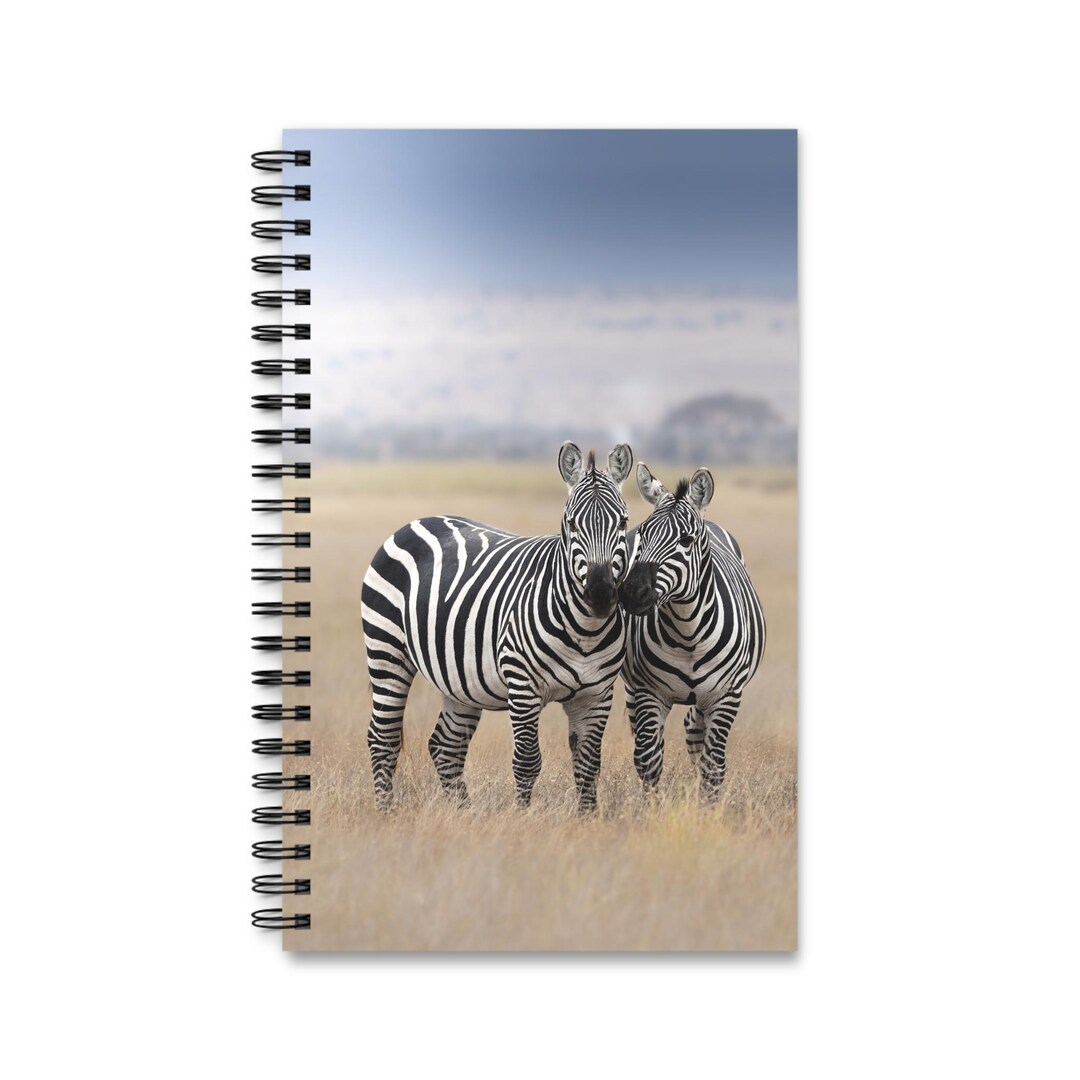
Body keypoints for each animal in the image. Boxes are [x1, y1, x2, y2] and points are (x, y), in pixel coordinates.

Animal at [361, 442, 634, 811]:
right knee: (384, 737)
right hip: (386, 650)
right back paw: (386, 811)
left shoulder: (597, 694)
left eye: (623, 522)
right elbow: (527, 761)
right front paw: (521, 817)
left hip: (458, 680)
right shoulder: (522, 686)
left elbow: (589, 766)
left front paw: (588, 818)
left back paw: (464, 813)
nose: (601, 594)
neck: (584, 630)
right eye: (571, 523)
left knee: (446, 746)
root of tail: (416, 521)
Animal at [618, 463, 765, 799]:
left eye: (686, 541)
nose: (632, 593)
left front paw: (709, 809)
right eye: (643, 534)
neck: (688, 634)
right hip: (635, 690)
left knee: (695, 734)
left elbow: (713, 766)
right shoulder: (649, 691)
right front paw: (652, 809)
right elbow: (649, 761)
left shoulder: (726, 695)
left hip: (705, 698)